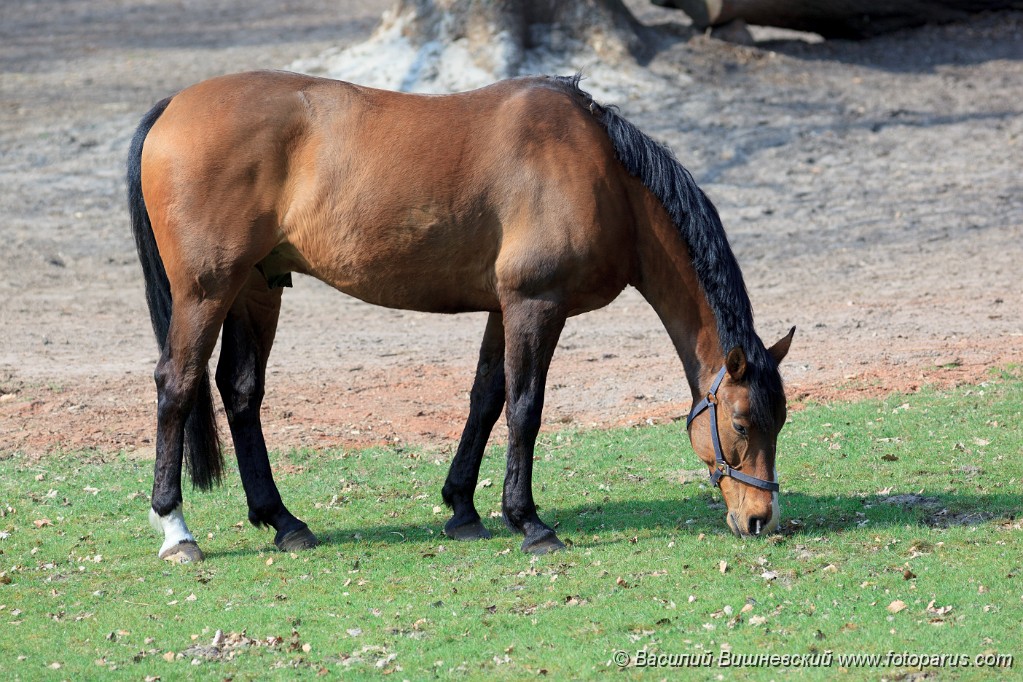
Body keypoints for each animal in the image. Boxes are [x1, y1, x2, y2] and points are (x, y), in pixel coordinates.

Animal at [127, 70, 794, 563]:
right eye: (740, 423)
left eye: (779, 422)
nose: (761, 519)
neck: (602, 173)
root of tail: (173, 106)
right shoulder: (536, 305)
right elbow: (525, 408)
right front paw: (529, 522)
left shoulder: (505, 308)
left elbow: (486, 398)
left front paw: (463, 508)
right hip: (206, 291)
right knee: (176, 385)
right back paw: (176, 529)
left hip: (257, 288)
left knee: (241, 392)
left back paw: (283, 520)